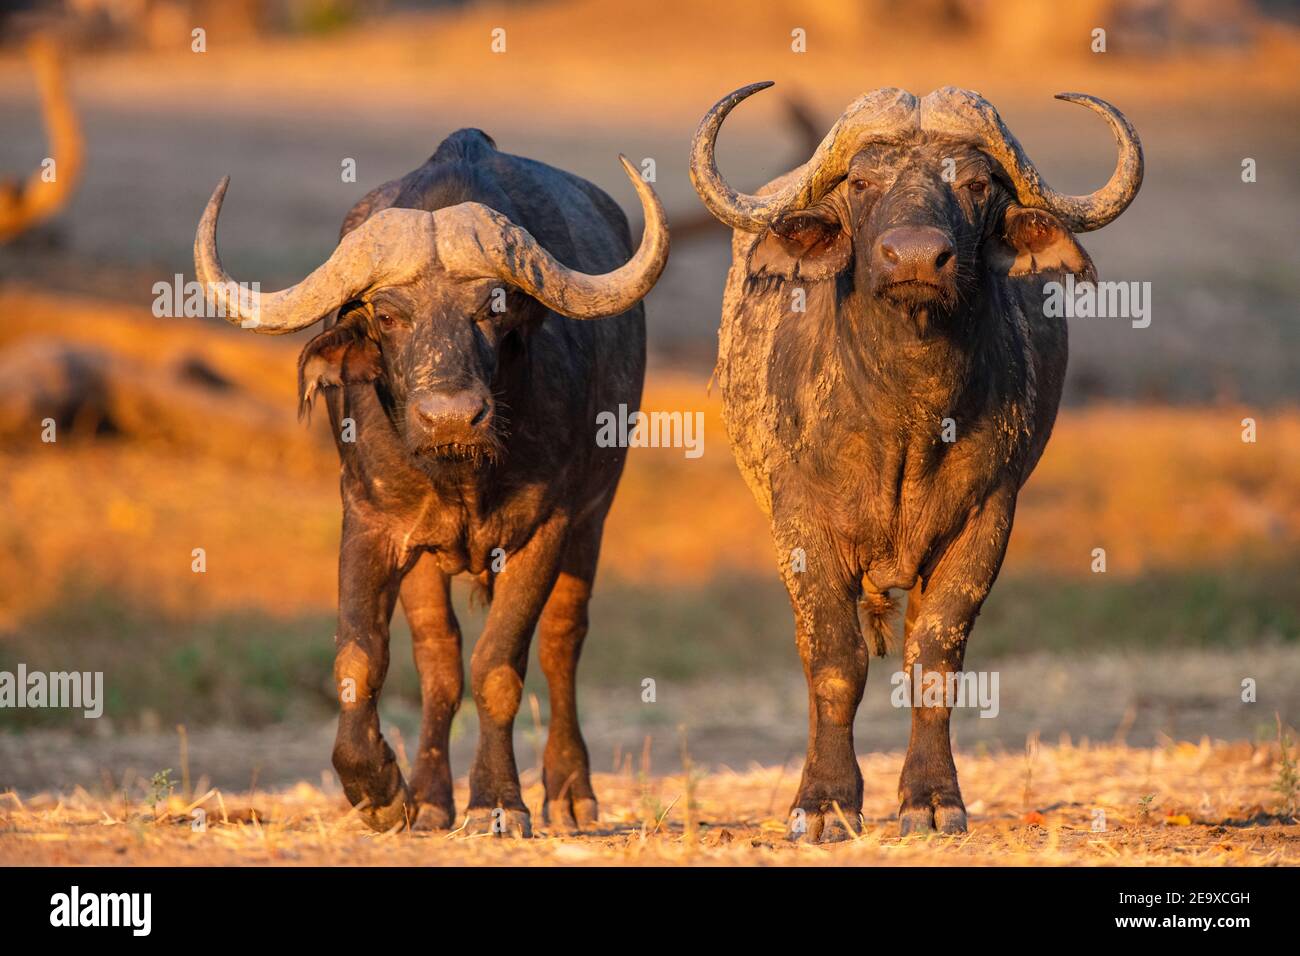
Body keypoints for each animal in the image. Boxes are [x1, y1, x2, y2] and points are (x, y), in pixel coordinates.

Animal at [193, 129, 669, 835]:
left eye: (492, 307)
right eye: (389, 316)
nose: (450, 416)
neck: (458, 471)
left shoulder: (548, 527)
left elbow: (499, 664)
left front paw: (498, 800)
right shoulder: (372, 523)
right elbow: (360, 656)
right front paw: (380, 790)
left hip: (593, 519)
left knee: (562, 642)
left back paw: (569, 793)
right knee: (437, 659)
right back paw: (431, 798)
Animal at [689, 82, 1142, 840]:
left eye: (978, 184)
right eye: (862, 182)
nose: (915, 259)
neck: (906, 414)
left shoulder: (988, 517)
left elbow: (934, 656)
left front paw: (930, 800)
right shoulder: (800, 525)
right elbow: (833, 660)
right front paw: (824, 803)